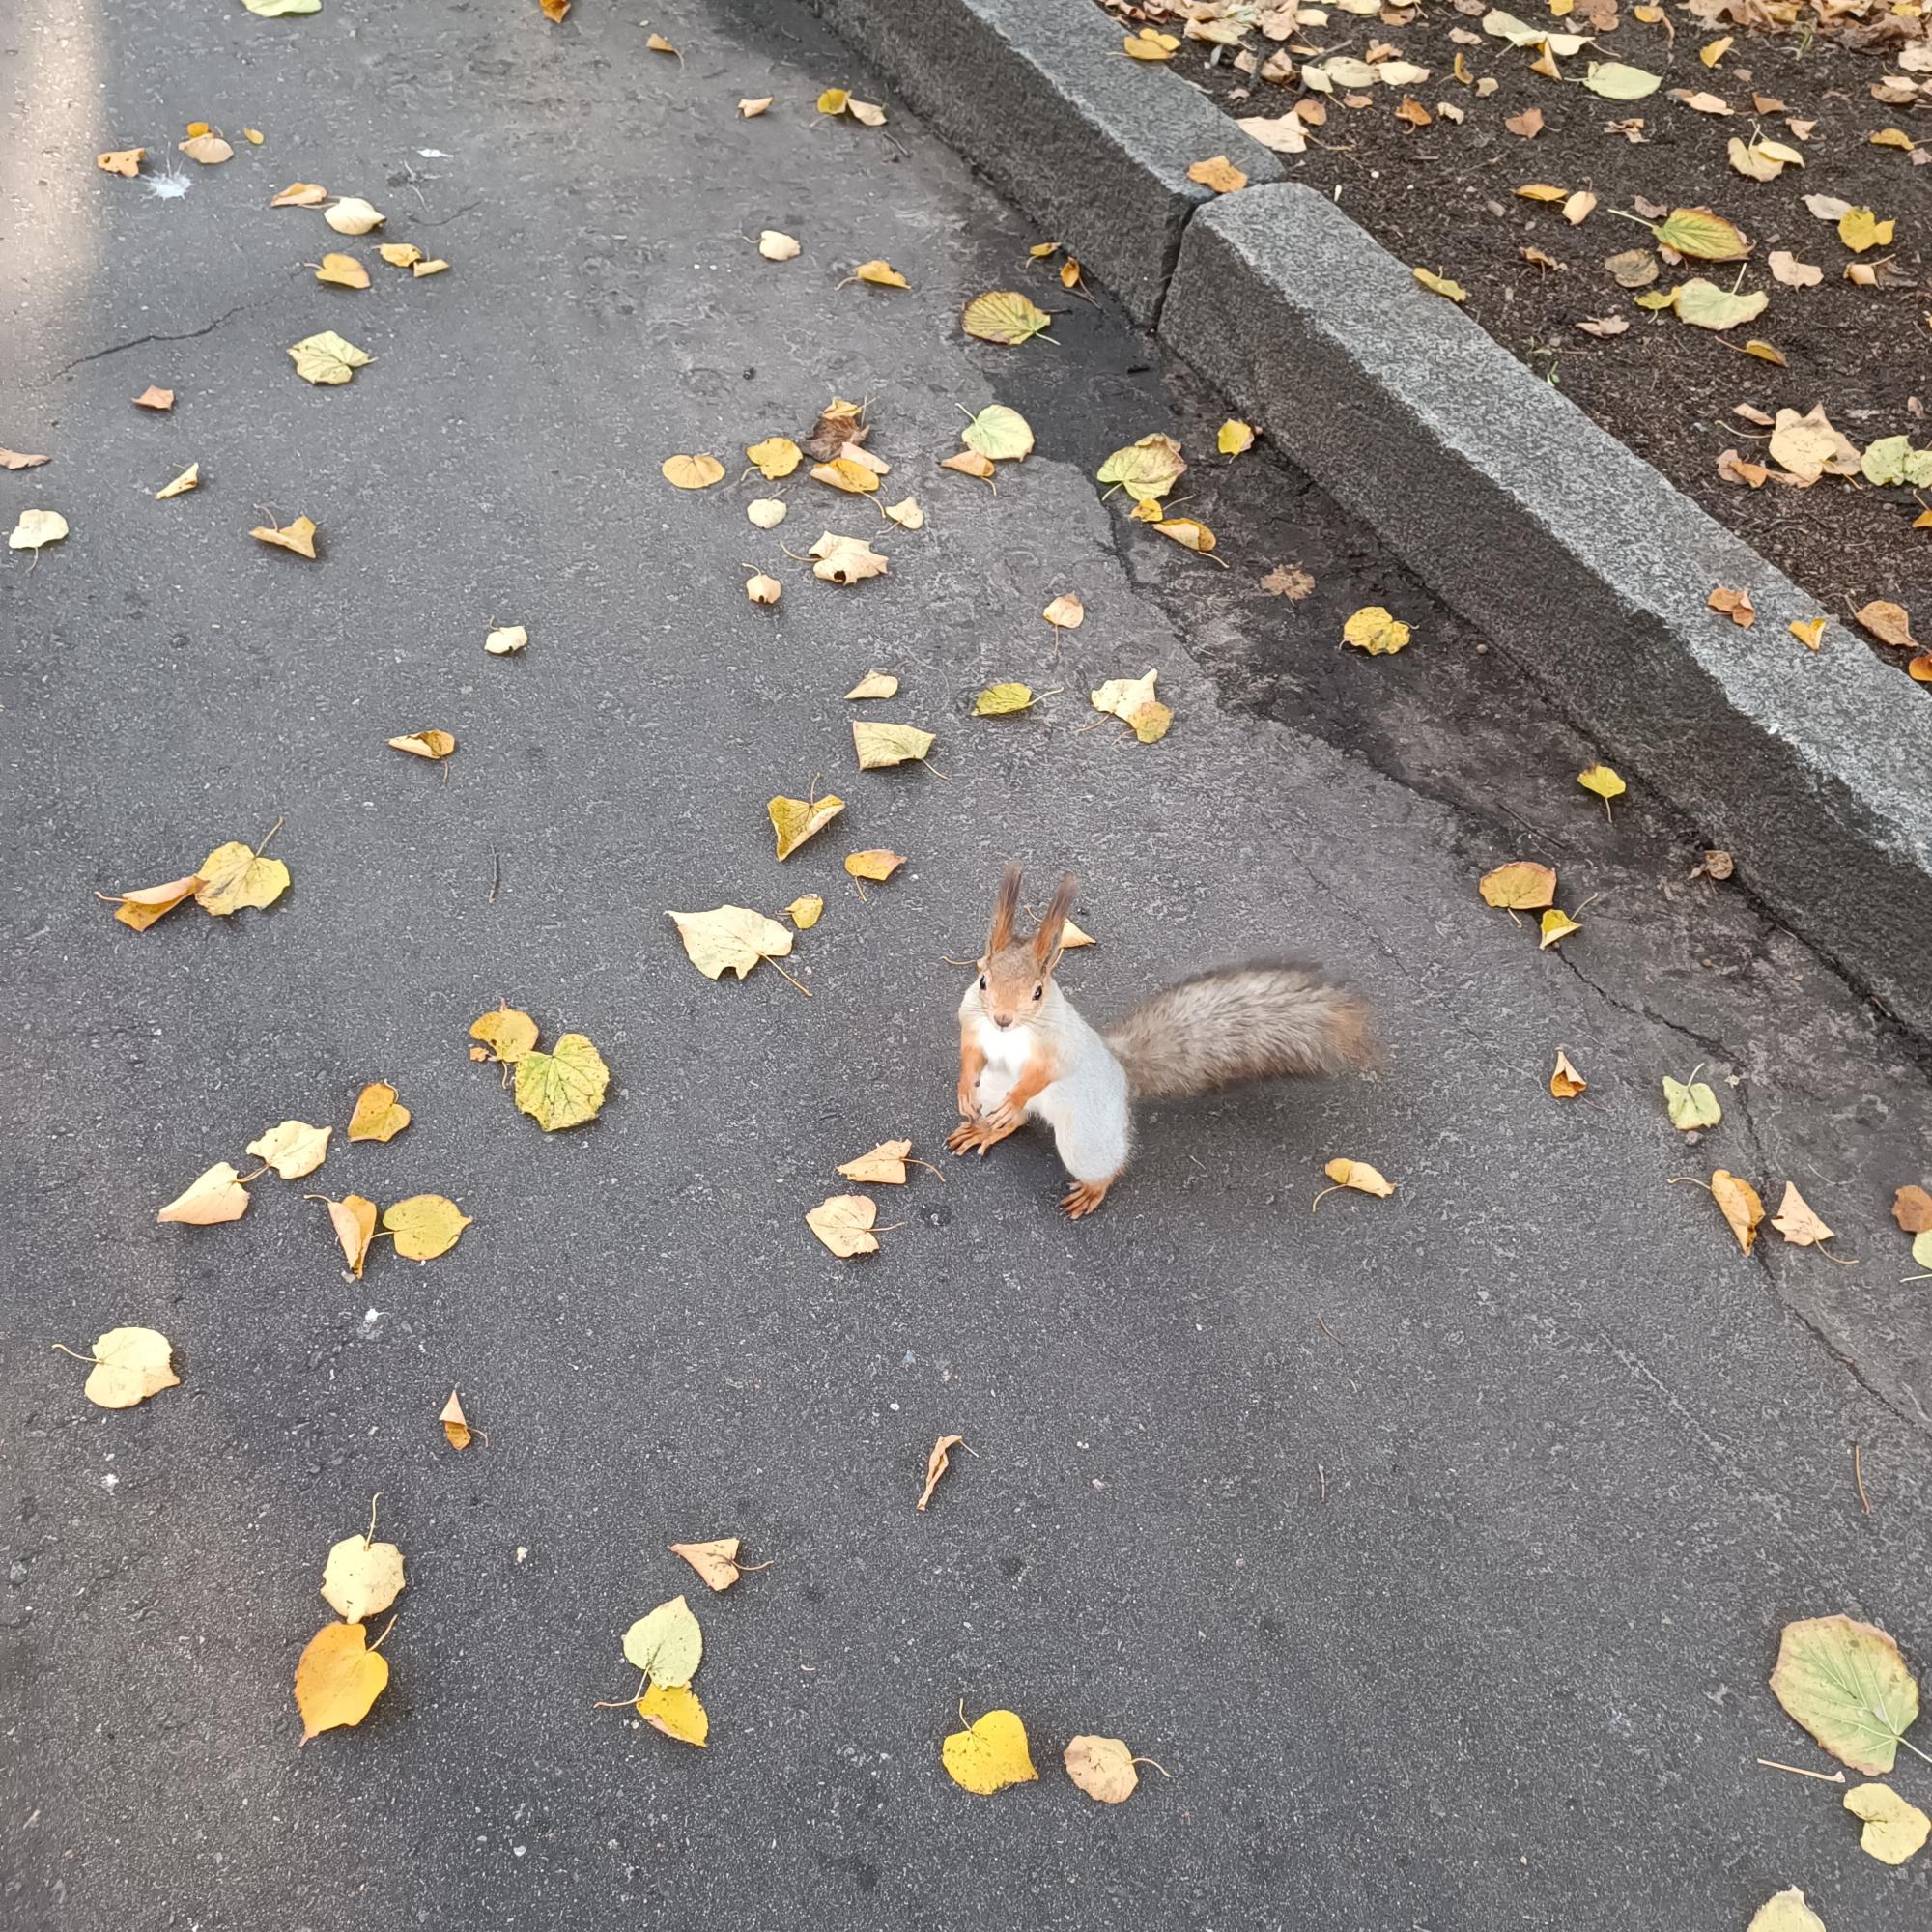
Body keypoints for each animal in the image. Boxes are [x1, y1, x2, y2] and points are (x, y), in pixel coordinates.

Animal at [947, 866, 1376, 1213]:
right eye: (983, 980)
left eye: (1038, 992)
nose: (1002, 1019)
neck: (1008, 1035)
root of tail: (1118, 1067)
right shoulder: (972, 1020)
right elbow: (969, 1051)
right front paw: (963, 1086)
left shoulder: (1057, 1045)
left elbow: (1045, 1071)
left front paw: (1018, 1093)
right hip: (993, 1087)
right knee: (1015, 1119)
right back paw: (985, 1127)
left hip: (1086, 1135)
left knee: (1101, 1160)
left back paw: (1091, 1188)